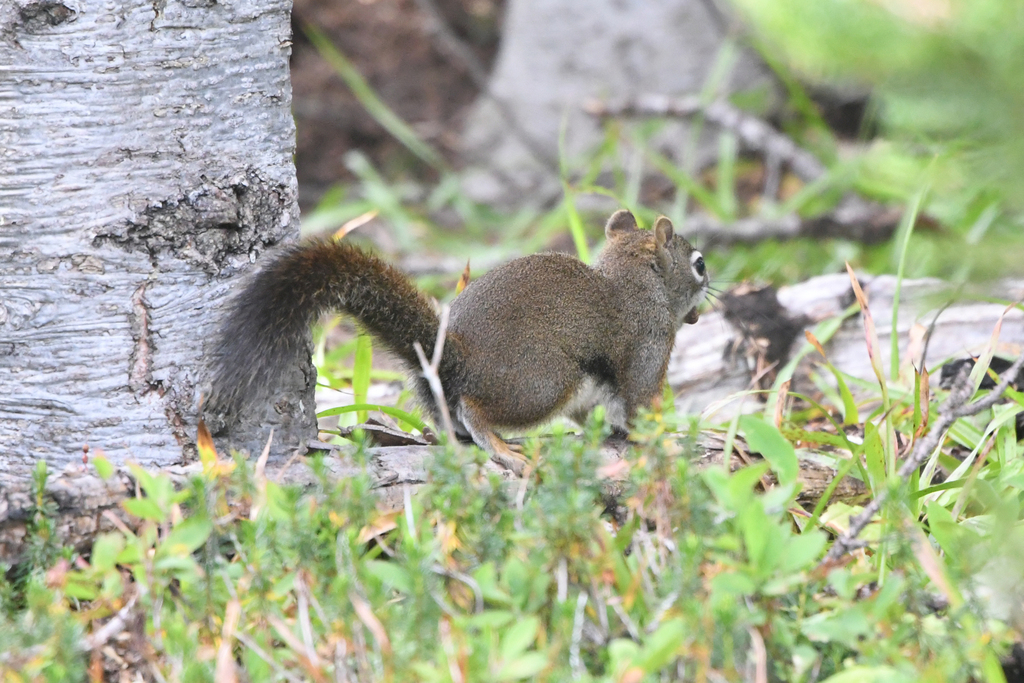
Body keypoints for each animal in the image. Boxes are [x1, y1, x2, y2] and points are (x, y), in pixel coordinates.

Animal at [208, 209, 709, 473]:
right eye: (700, 264)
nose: (710, 289)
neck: (634, 282)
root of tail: (453, 357)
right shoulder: (648, 345)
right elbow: (641, 403)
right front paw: (665, 442)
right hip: (545, 380)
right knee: (476, 411)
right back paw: (503, 449)